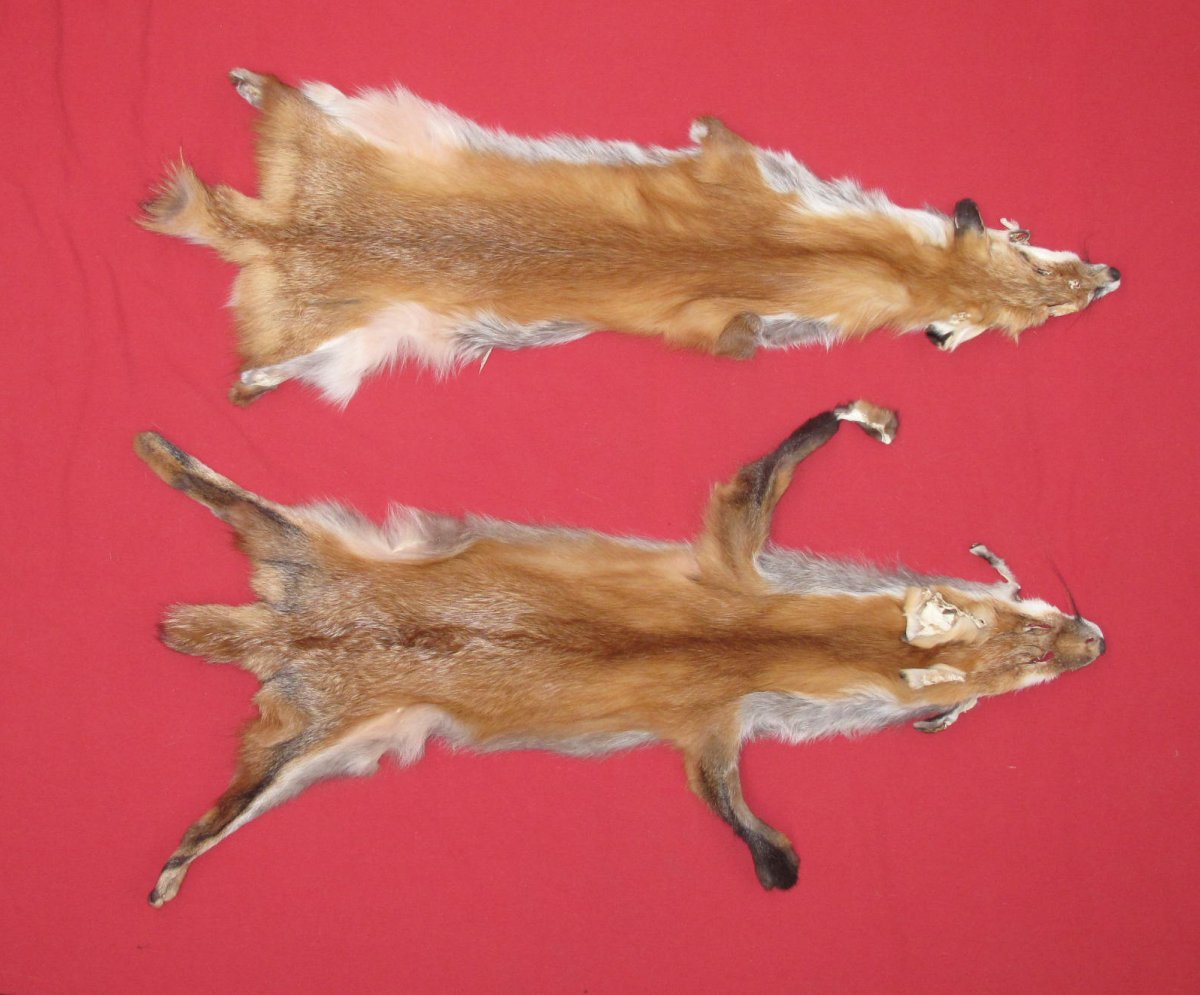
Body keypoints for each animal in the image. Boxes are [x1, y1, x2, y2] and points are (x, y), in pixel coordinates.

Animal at [135, 400, 1105, 905]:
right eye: (1025, 662)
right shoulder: (714, 700)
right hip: (317, 723)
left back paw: (161, 460)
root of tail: (278, 632)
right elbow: (792, 444)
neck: (768, 636)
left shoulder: (729, 609)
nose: (1092, 641)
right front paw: (866, 413)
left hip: (314, 632)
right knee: (226, 810)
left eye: (1030, 618)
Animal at [139, 70, 1120, 407]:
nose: (1111, 272)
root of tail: (276, 228)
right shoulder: (746, 177)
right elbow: (716, 134)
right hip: (364, 175)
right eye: (1042, 270)